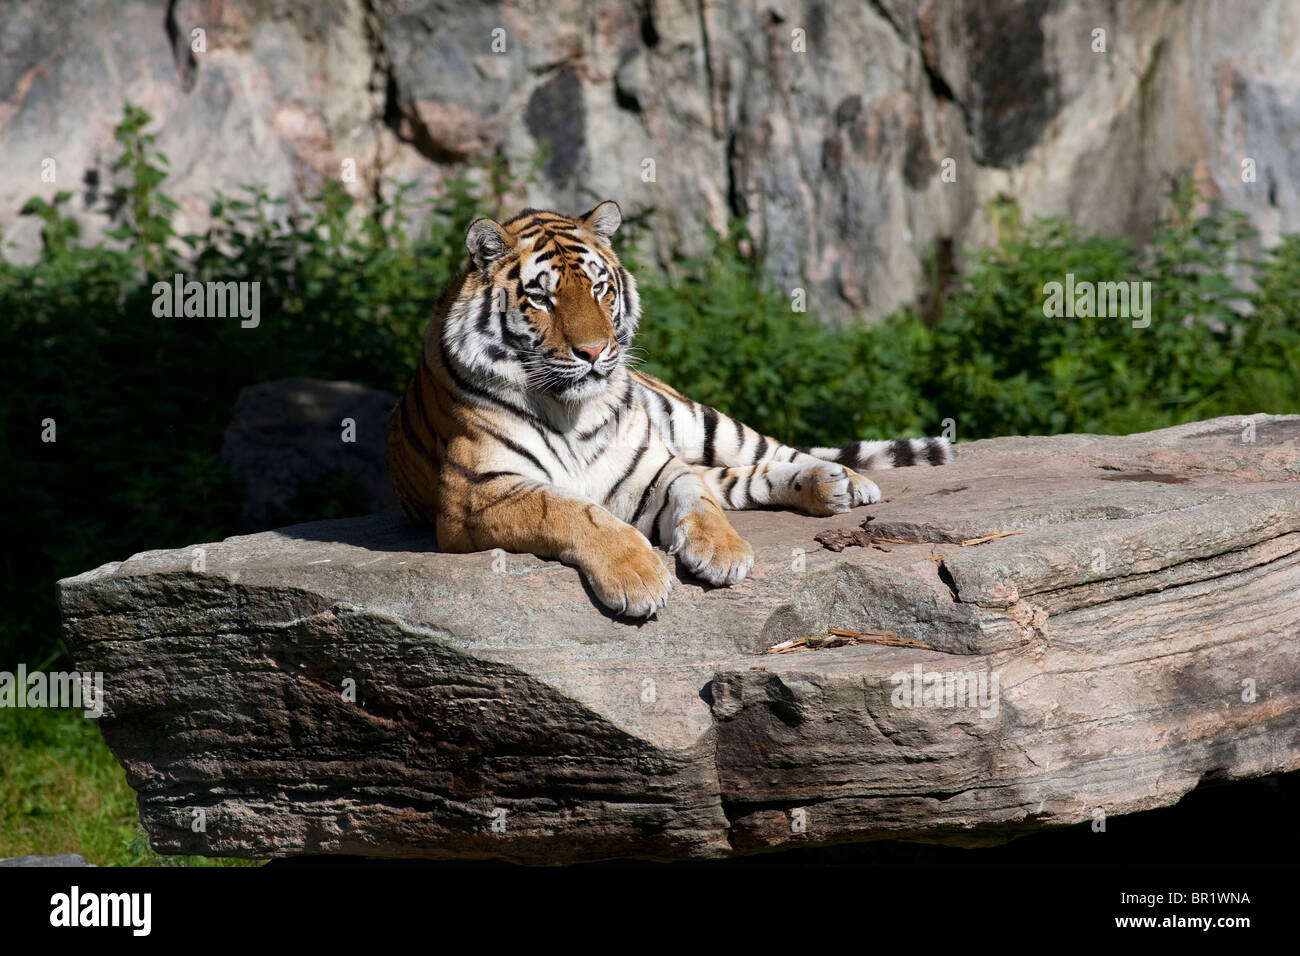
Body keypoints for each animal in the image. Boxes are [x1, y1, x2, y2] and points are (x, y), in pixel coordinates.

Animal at [386, 201, 953, 617]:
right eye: (541, 298)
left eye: (599, 287)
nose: (594, 351)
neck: (569, 410)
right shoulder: (474, 495)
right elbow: (571, 510)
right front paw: (639, 577)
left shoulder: (655, 468)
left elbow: (697, 499)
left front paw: (722, 552)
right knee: (732, 480)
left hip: (699, 422)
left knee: (764, 455)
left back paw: (844, 482)